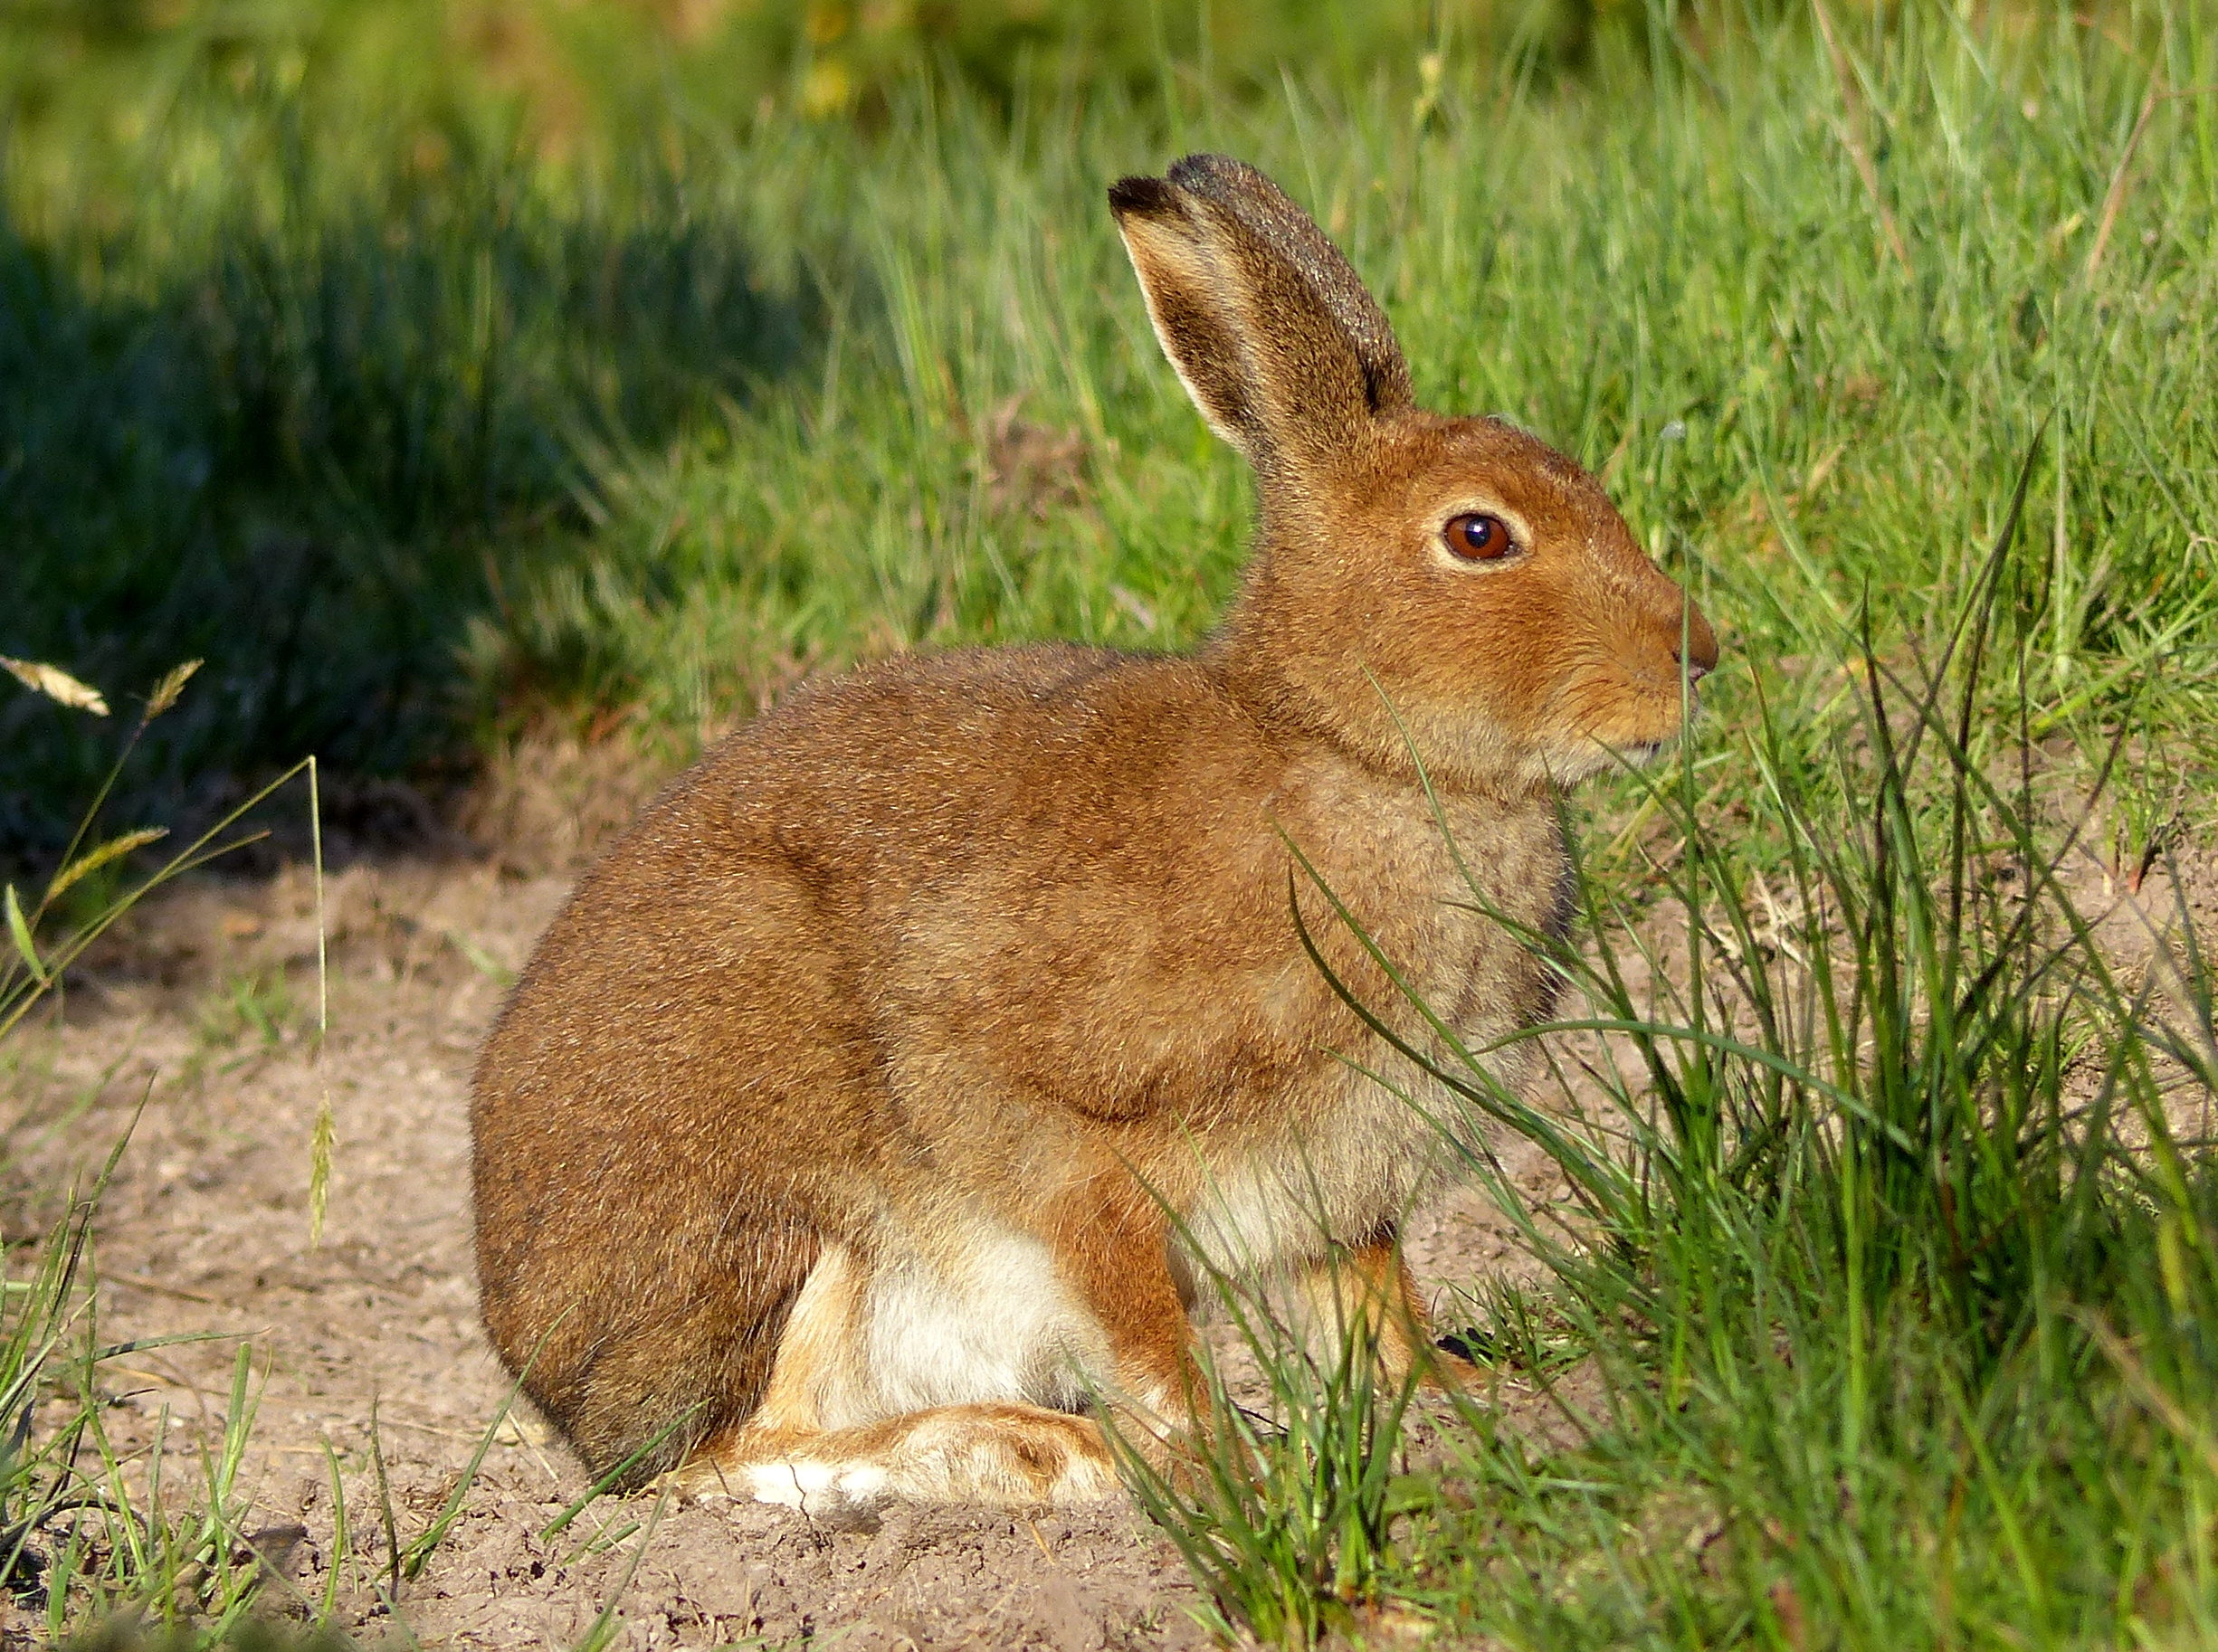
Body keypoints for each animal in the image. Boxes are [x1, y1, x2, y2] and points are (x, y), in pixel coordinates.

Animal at [470, 152, 1718, 1516]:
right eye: (1479, 534)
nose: (1695, 657)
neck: (1355, 750)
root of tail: (550, 1371)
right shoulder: (1059, 1134)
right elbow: (1140, 1321)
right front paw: (1217, 1457)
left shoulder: (1340, 1193)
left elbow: (1373, 1306)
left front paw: (1449, 1391)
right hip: (794, 1213)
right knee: (739, 1448)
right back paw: (1039, 1450)